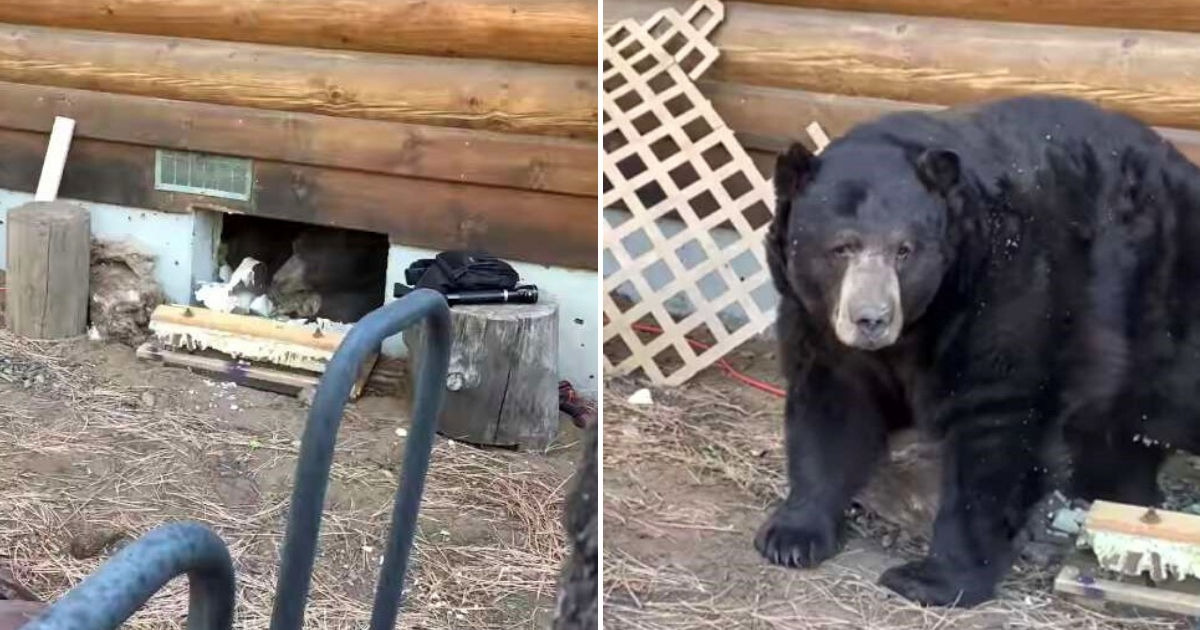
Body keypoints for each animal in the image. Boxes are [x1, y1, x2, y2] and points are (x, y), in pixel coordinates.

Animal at [754, 94, 1200, 607]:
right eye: (841, 247)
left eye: (905, 250)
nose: (872, 319)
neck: (923, 321)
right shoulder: (818, 323)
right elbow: (831, 407)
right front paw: (792, 535)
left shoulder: (1005, 289)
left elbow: (993, 427)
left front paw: (932, 577)